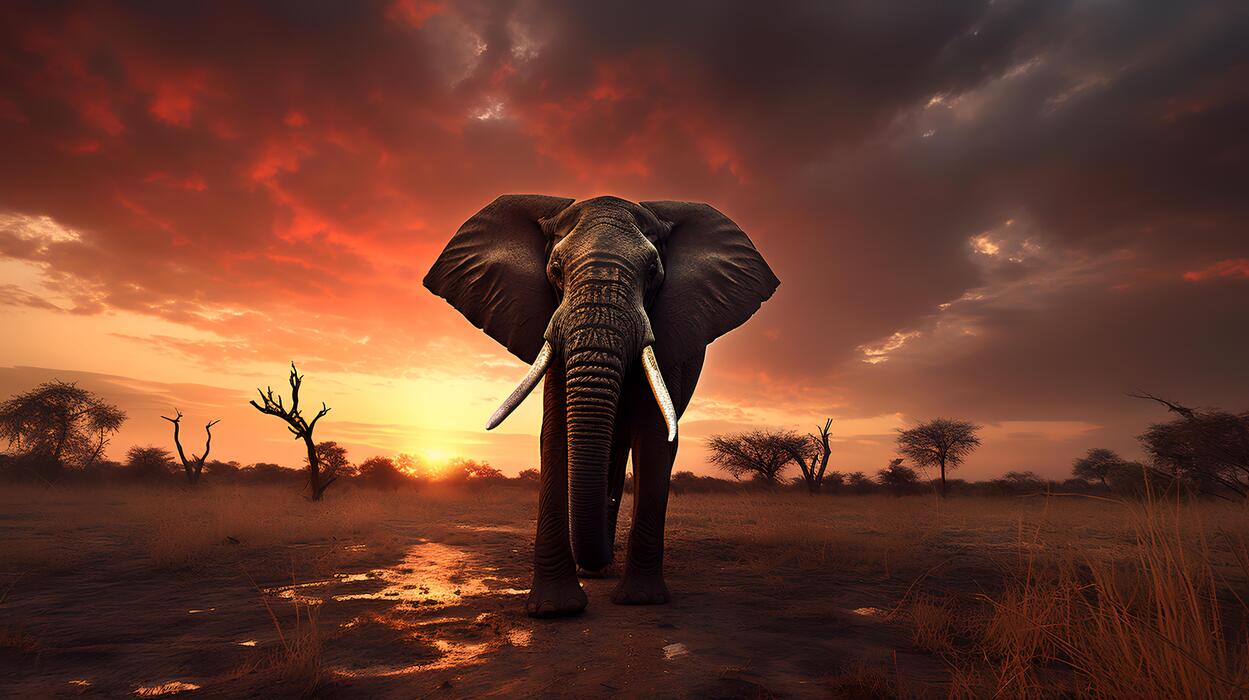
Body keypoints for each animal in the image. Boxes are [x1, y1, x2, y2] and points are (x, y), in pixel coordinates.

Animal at [424, 195, 778, 617]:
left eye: (654, 271)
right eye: (555, 270)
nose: (597, 561)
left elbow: (654, 438)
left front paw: (641, 600)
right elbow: (556, 431)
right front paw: (555, 609)